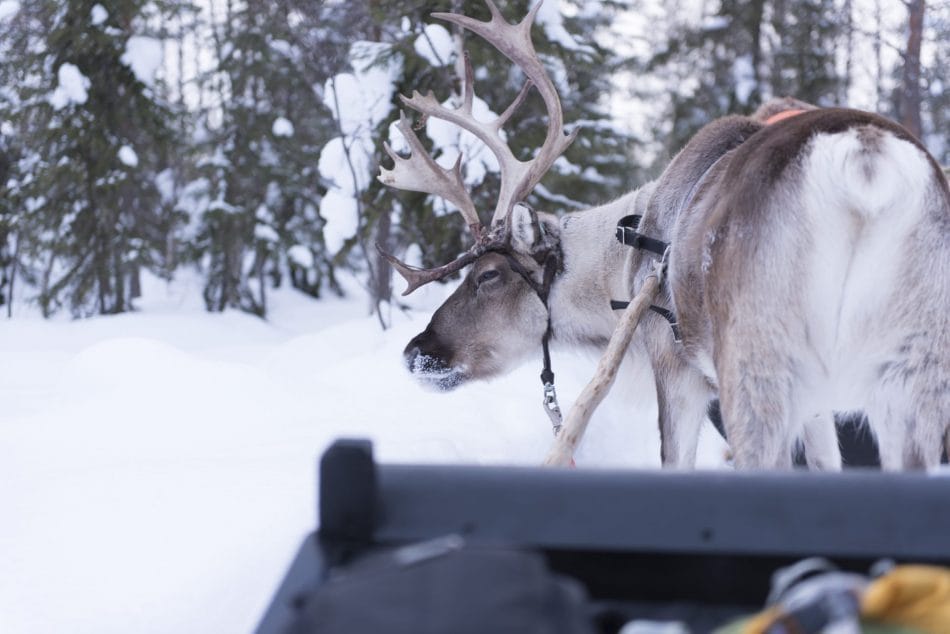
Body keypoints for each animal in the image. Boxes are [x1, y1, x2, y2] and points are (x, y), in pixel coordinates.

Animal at [378, 0, 950, 470]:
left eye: (488, 275)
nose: (415, 352)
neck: (623, 264)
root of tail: (863, 162)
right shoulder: (817, 403)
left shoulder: (677, 370)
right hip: (908, 377)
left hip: (760, 366)